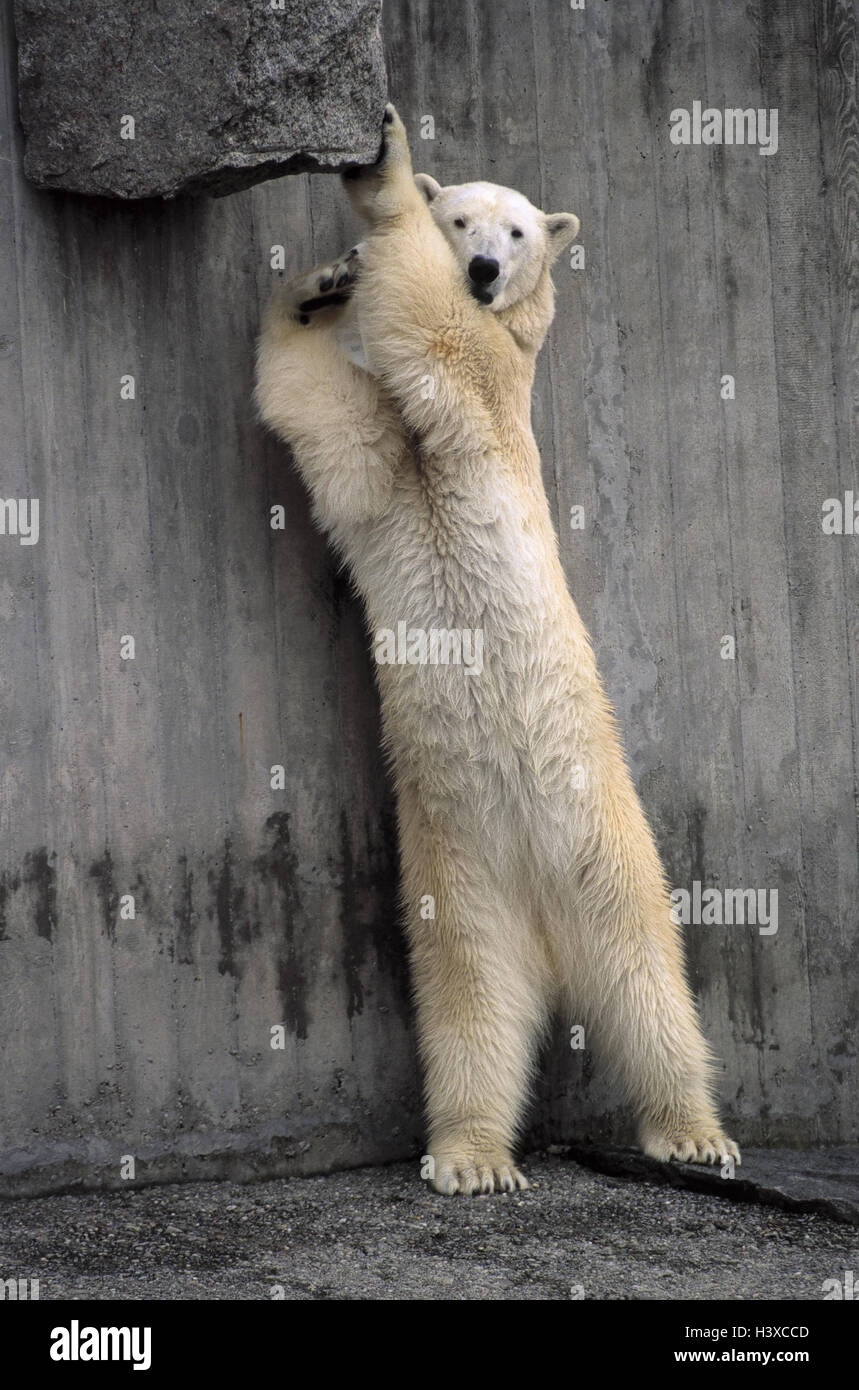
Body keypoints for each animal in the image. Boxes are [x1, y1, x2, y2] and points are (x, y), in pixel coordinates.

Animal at [255, 104, 740, 1195]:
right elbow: (326, 418)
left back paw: (692, 1129)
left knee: (651, 986)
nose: (480, 267)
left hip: (608, 843)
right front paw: (318, 283)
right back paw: (470, 1156)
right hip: (456, 880)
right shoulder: (384, 469)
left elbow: (439, 345)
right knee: (468, 1012)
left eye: (515, 232)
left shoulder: (491, 382)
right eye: (463, 219)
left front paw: (384, 173)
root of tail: (547, 931)